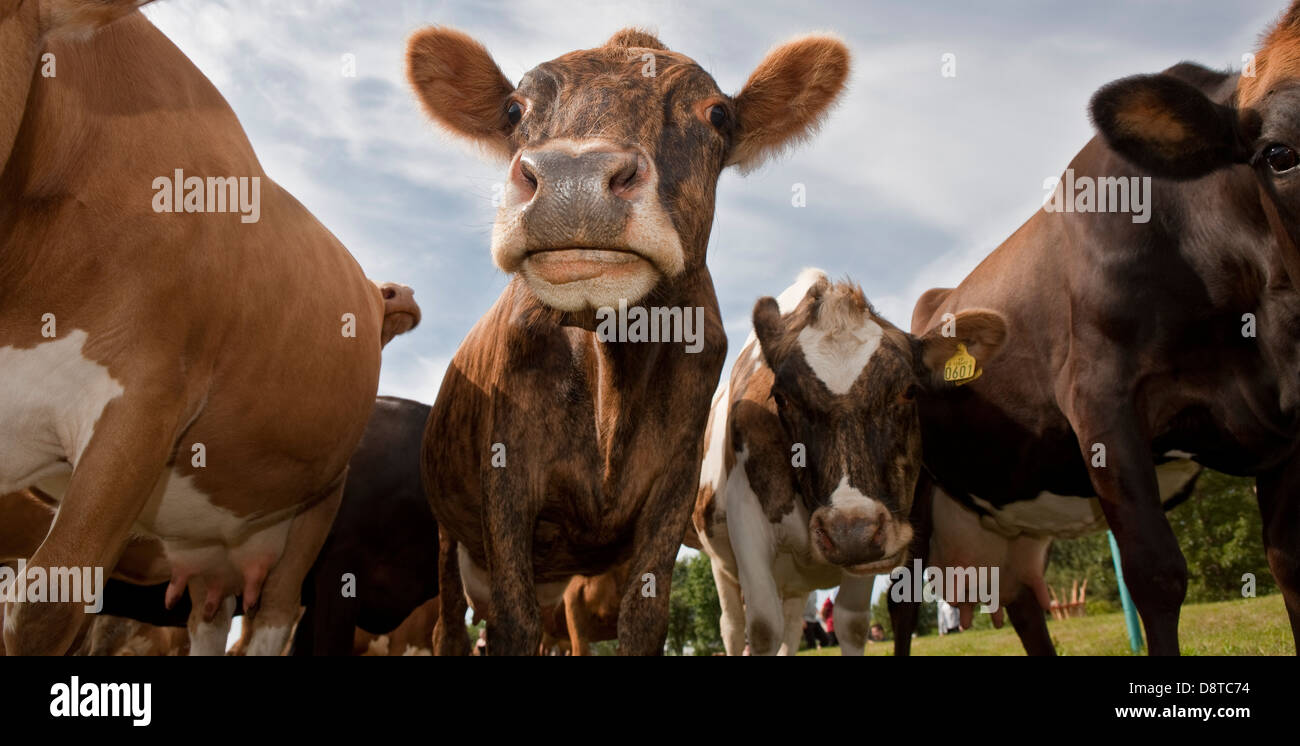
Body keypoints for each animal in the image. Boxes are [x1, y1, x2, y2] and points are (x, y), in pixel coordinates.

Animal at [409, 26, 850, 655]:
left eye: (717, 114)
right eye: (514, 110)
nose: (572, 183)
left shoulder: (670, 492)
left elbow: (645, 621)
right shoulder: (507, 480)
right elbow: (514, 623)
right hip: (450, 535)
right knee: (449, 625)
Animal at [694, 269, 1008, 654]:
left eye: (910, 390)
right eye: (781, 398)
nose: (849, 533)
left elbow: (851, 623)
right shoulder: (746, 519)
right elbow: (764, 628)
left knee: (792, 628)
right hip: (723, 567)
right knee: (734, 627)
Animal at [890, 6, 1300, 655]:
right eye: (1277, 154)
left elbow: (1288, 563)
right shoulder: (1100, 398)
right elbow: (1156, 574)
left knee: (1023, 599)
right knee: (903, 608)